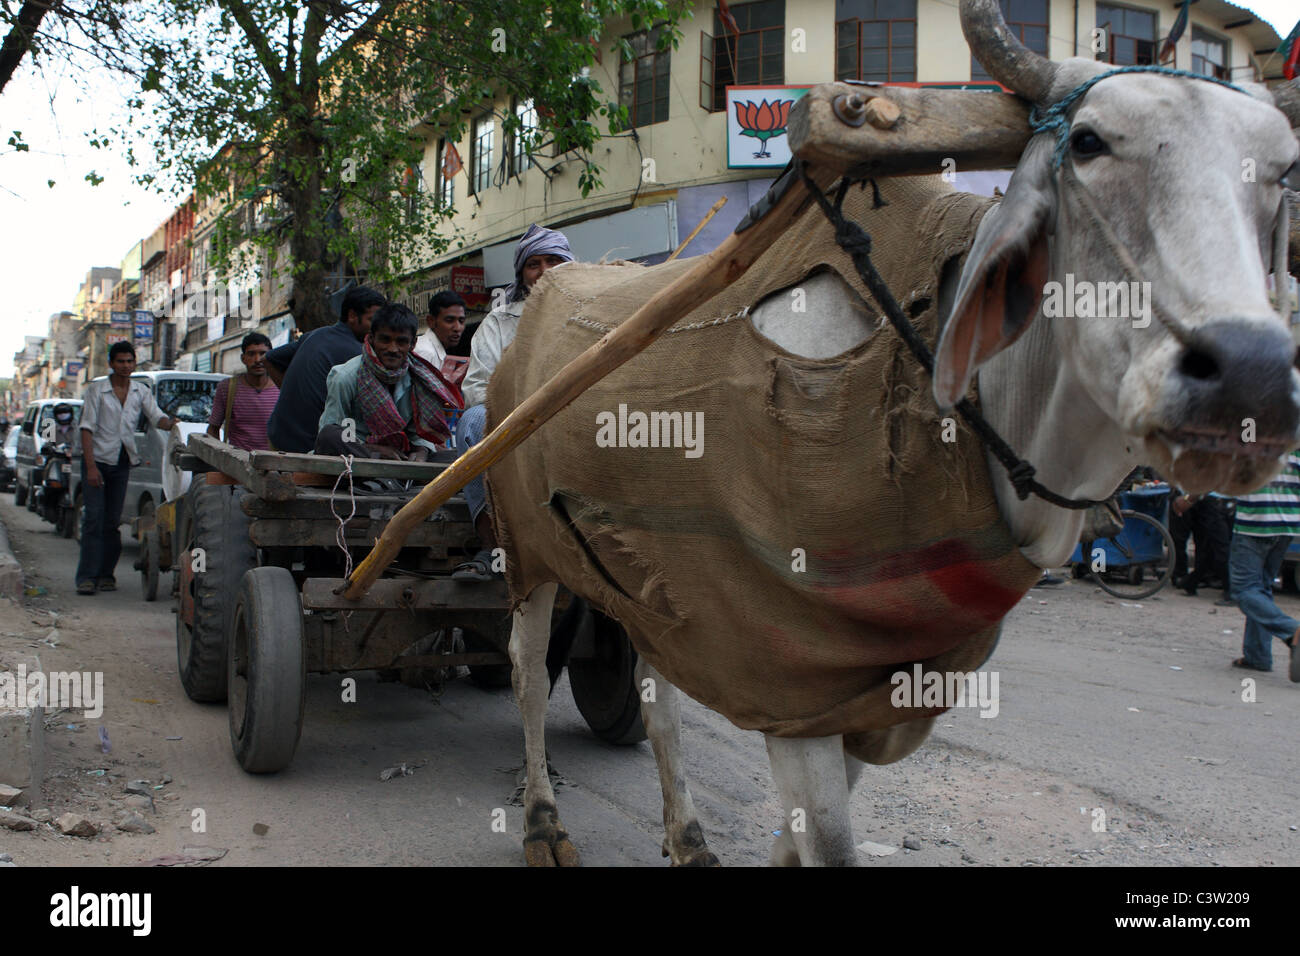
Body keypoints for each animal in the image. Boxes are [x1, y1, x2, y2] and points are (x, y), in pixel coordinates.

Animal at [486, 0, 1300, 866]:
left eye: (1282, 171)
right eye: (1087, 142)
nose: (1249, 378)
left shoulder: (864, 690)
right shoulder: (791, 682)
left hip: (647, 577)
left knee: (656, 687)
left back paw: (689, 832)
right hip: (526, 544)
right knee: (526, 671)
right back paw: (542, 822)